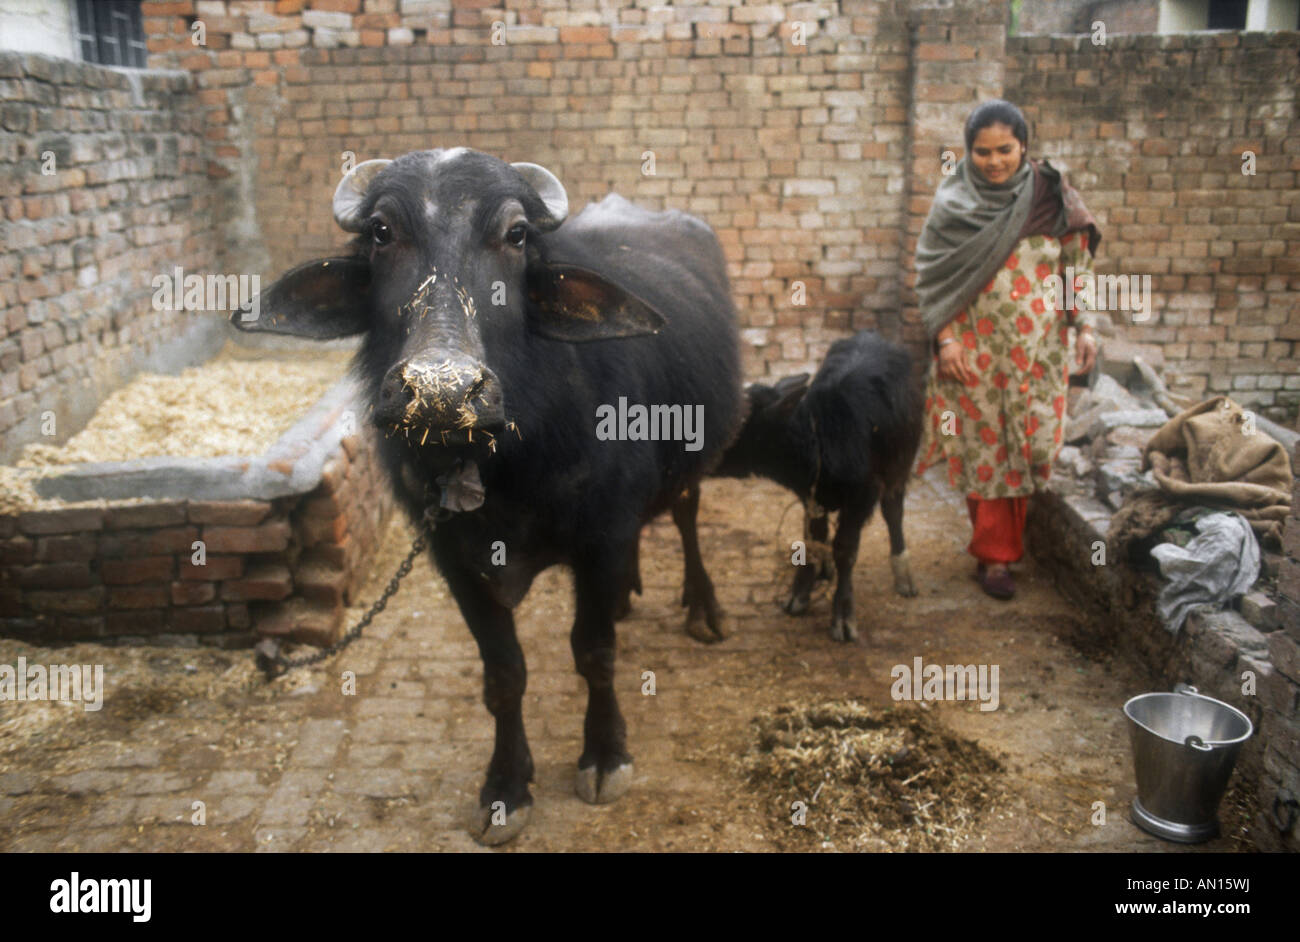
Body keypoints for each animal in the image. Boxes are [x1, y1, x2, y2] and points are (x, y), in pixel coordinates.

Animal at [231, 148, 743, 844]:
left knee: (687, 515)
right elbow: (504, 675)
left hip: (696, 455)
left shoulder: (602, 537)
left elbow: (595, 653)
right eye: (382, 233)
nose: (442, 390)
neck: (505, 470)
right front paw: (505, 787)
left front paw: (605, 754)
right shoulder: (453, 557)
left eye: (516, 234)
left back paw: (702, 607)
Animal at [711, 330, 923, 642]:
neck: (821, 436)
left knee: (893, 512)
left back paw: (903, 573)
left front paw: (843, 615)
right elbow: (812, 537)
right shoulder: (810, 497)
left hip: (900, 464)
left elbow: (846, 549)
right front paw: (800, 593)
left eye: (738, 422)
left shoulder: (862, 496)